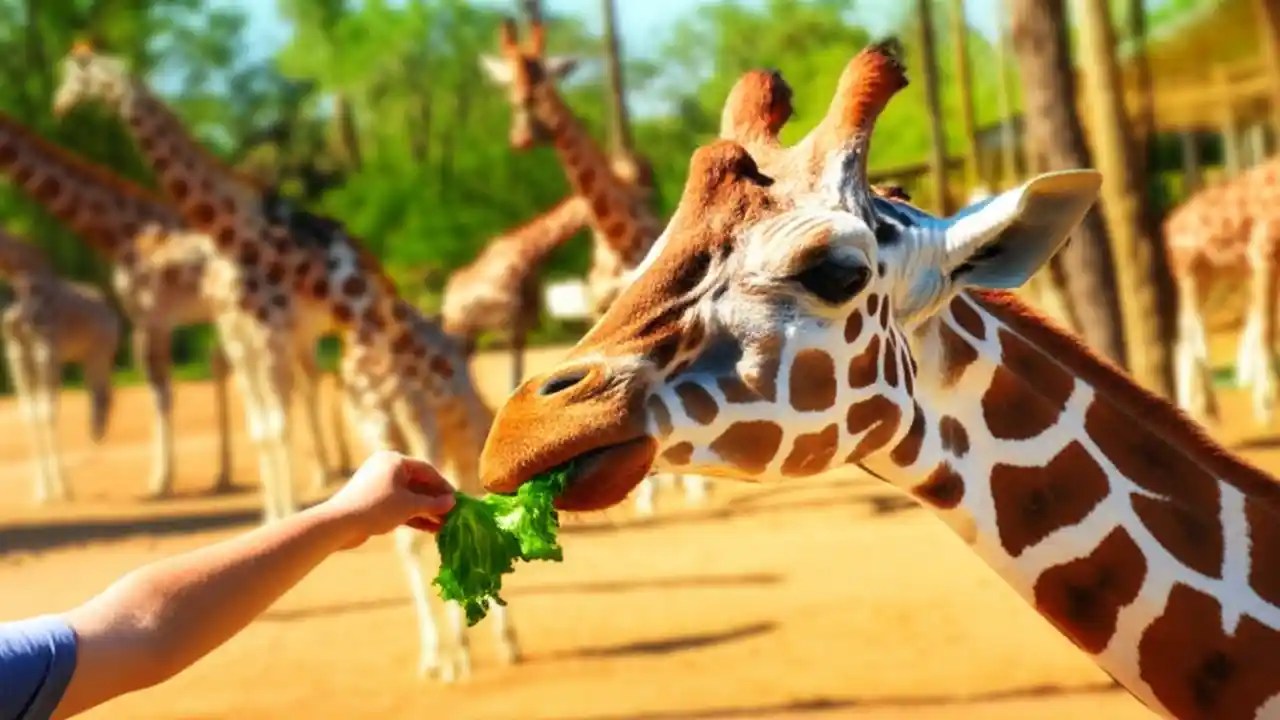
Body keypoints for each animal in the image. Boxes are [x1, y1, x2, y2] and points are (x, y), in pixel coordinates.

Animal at [0, 228, 119, 504]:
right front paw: (40, 490)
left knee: (102, 393)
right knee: (101, 393)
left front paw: (61, 489)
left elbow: (47, 414)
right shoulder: (17, 356)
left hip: (99, 353)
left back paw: (96, 435)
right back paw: (96, 434)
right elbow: (29, 416)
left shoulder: (46, 353)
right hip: (87, 358)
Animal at [54, 44, 519, 681]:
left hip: (457, 423)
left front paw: (456, 657)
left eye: (77, 74)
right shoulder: (369, 421)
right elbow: (405, 530)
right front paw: (439, 657)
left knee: (481, 495)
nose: (57, 106)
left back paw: (505, 642)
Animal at [442, 195, 590, 390]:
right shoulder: (510, 323)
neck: (531, 251)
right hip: (458, 327)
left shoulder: (521, 327)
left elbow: (518, 375)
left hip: (468, 332)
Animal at [1165, 156, 1280, 430]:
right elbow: (1265, 328)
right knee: (1191, 338)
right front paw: (1265, 408)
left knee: (1186, 338)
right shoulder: (1262, 251)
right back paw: (1201, 410)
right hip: (1191, 275)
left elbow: (1259, 325)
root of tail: (1169, 227)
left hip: (1212, 278)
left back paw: (1202, 411)